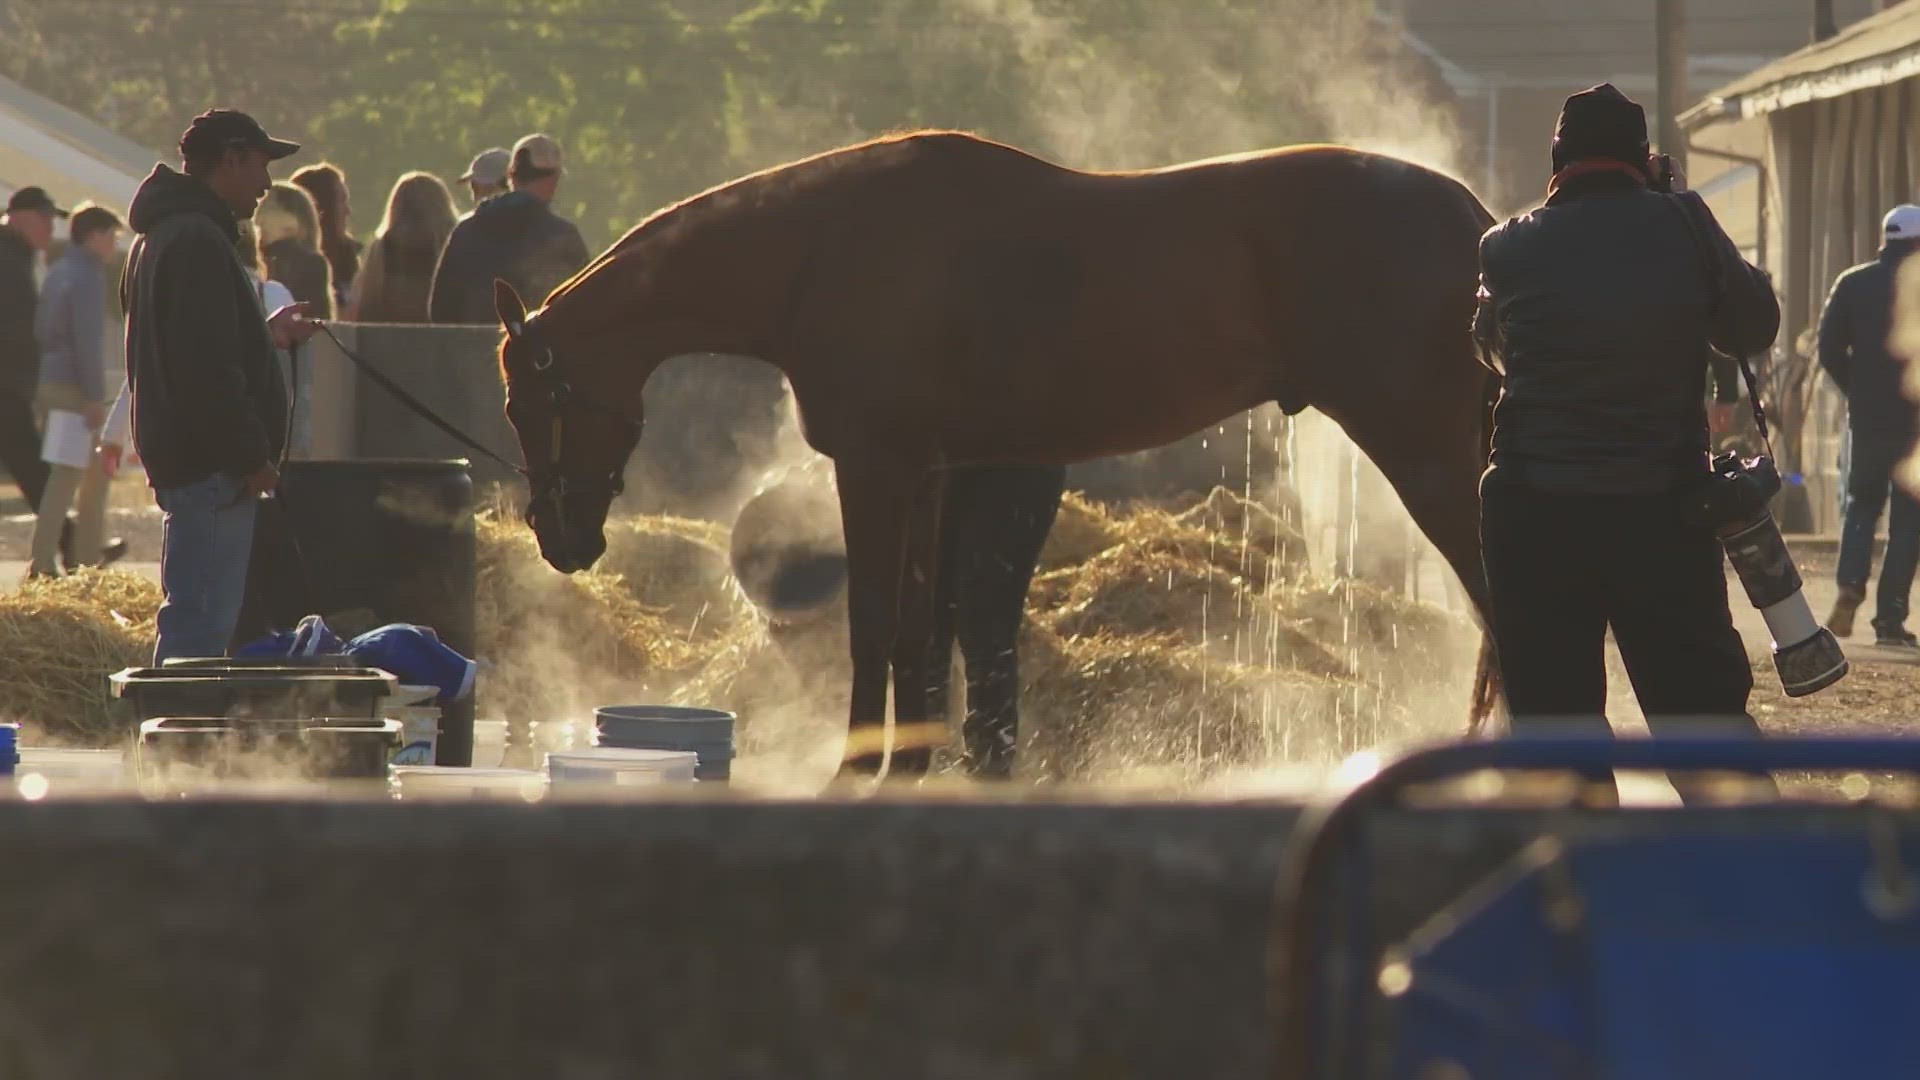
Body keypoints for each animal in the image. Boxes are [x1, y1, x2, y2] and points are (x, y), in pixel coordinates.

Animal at [493, 130, 1501, 780]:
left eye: (526, 400)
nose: (560, 538)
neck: (821, 251)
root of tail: (1473, 218)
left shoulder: (878, 467)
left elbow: (875, 626)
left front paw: (853, 771)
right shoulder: (937, 475)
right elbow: (922, 629)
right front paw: (906, 767)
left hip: (1427, 453)